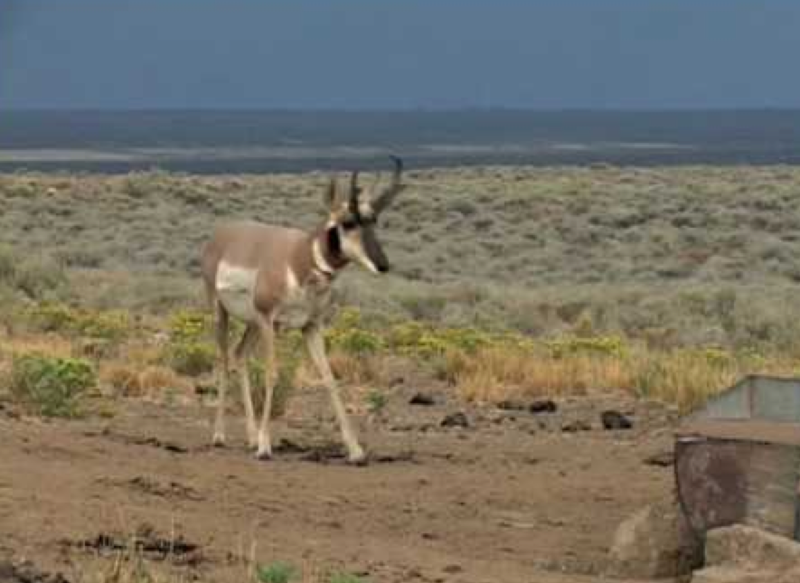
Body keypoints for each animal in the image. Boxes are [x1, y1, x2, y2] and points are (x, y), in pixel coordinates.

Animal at [200, 157, 405, 464]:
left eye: (374, 221)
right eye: (348, 222)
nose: (382, 265)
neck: (298, 259)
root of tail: (223, 233)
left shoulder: (310, 326)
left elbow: (329, 378)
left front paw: (356, 451)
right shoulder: (269, 319)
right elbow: (272, 374)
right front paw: (265, 447)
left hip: (253, 325)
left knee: (239, 355)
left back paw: (250, 437)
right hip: (222, 313)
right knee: (224, 359)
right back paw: (220, 435)